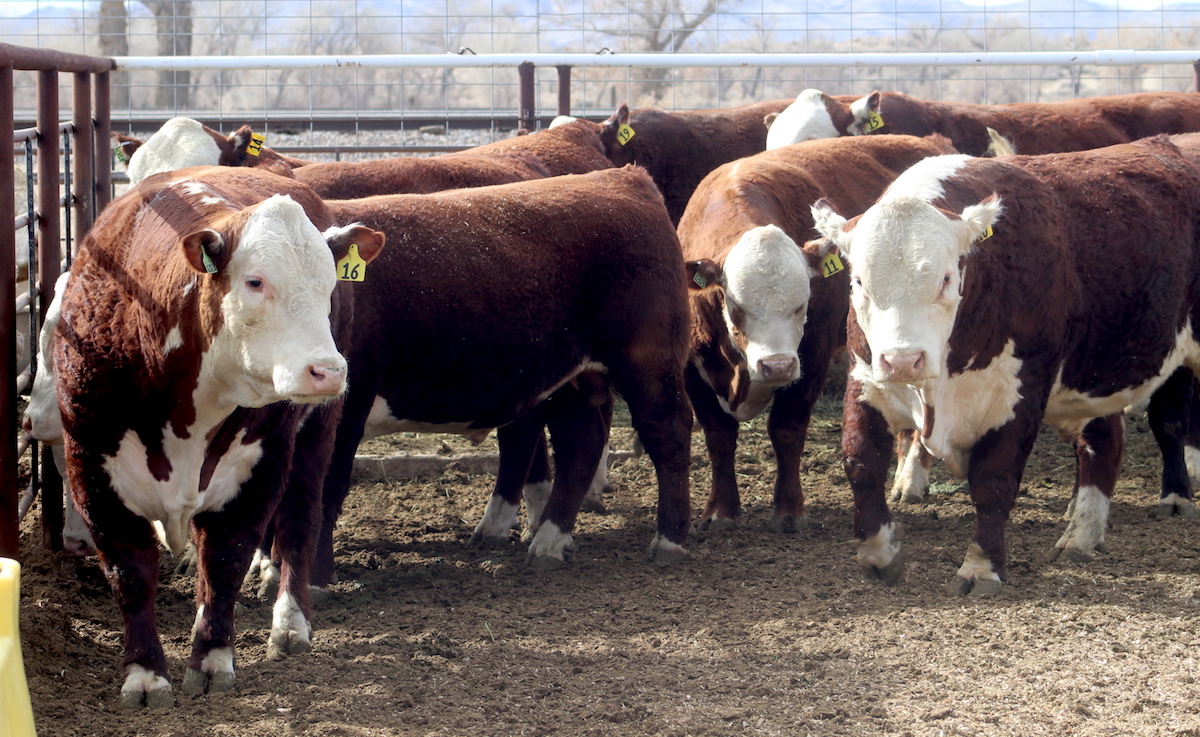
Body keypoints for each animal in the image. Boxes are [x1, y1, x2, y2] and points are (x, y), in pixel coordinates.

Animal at [52, 165, 383, 707]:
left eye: (329, 284)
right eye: (255, 281)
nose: (328, 371)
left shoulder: (260, 464)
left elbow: (226, 557)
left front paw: (211, 660)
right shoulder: (91, 466)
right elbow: (130, 570)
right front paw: (145, 673)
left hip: (315, 434)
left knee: (299, 518)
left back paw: (290, 622)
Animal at [297, 165, 694, 584]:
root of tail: (623, 176)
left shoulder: (348, 405)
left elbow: (323, 487)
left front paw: (312, 578)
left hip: (648, 360)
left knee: (666, 430)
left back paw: (668, 539)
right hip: (569, 377)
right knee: (579, 442)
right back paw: (546, 541)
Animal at [677, 134, 957, 532]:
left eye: (801, 305)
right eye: (736, 305)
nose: (777, 366)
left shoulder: (812, 355)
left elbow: (787, 430)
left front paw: (789, 511)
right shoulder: (691, 365)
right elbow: (719, 436)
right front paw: (720, 510)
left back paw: (911, 479)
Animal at [810, 135, 1200, 596]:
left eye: (946, 278)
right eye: (858, 282)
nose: (904, 360)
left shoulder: (1020, 391)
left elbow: (994, 481)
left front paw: (981, 567)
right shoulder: (867, 379)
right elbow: (862, 461)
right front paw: (878, 554)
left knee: (1167, 420)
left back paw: (1173, 497)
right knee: (1107, 439)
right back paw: (1082, 534)